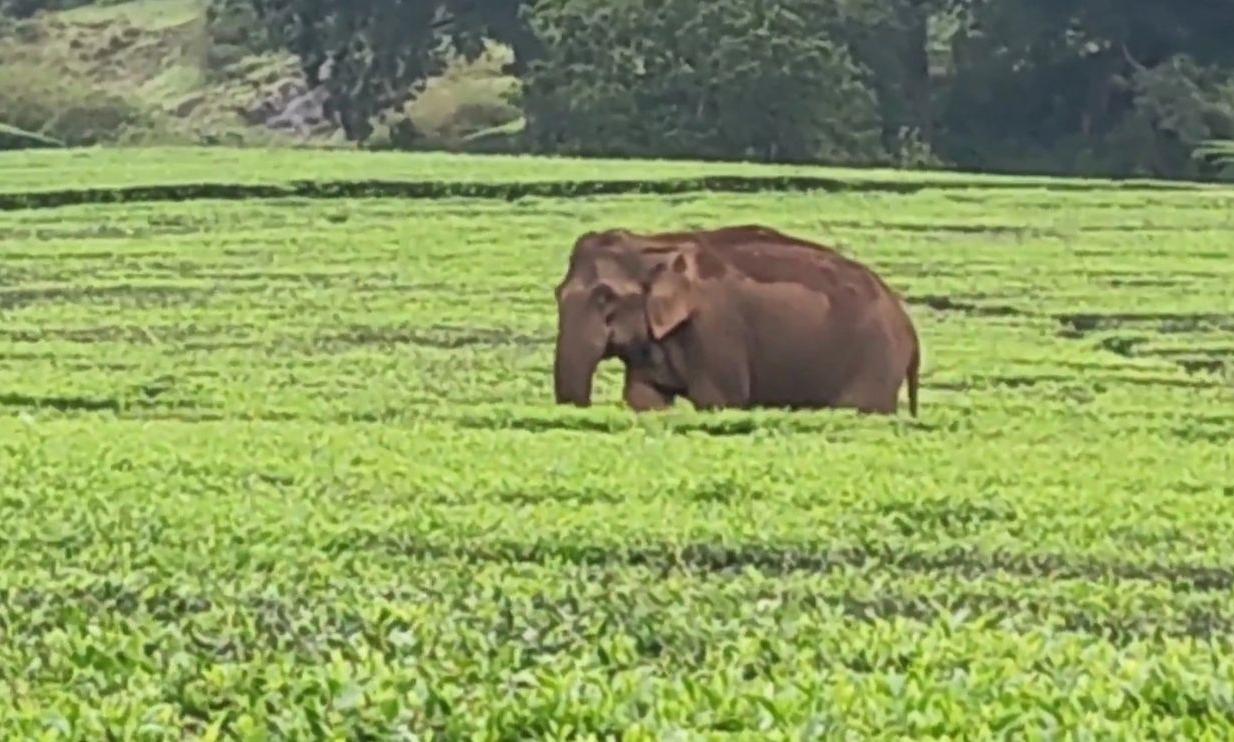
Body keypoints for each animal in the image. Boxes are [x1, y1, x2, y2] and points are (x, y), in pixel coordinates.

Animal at [552, 224, 921, 416]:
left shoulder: (717, 331)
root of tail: (906, 321)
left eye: (605, 297)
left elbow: (718, 399)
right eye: (557, 293)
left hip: (876, 361)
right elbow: (643, 397)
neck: (655, 243)